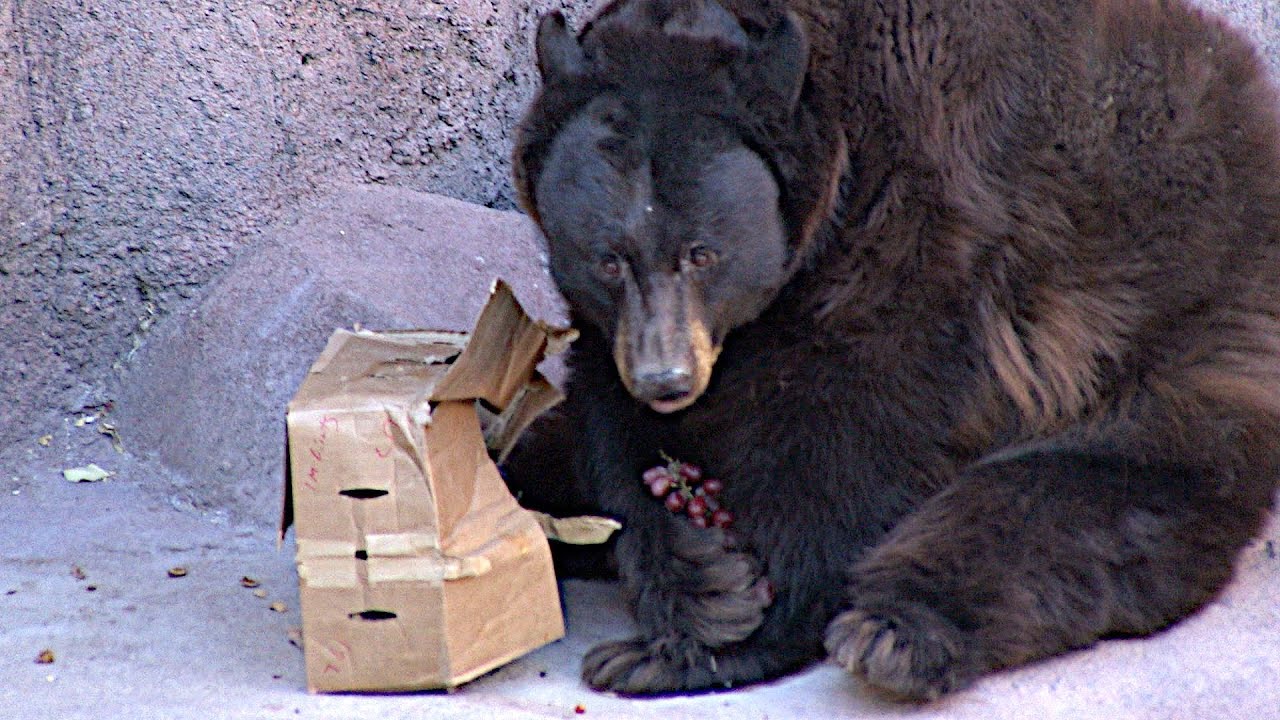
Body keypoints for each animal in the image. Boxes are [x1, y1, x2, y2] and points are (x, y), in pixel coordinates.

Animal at [501, 0, 1280, 701]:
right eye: (607, 259)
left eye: (702, 251)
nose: (667, 379)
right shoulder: (623, 329)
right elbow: (610, 427)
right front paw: (704, 578)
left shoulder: (924, 233)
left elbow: (846, 441)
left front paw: (707, 642)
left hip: (1176, 342)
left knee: (1060, 501)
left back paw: (895, 634)